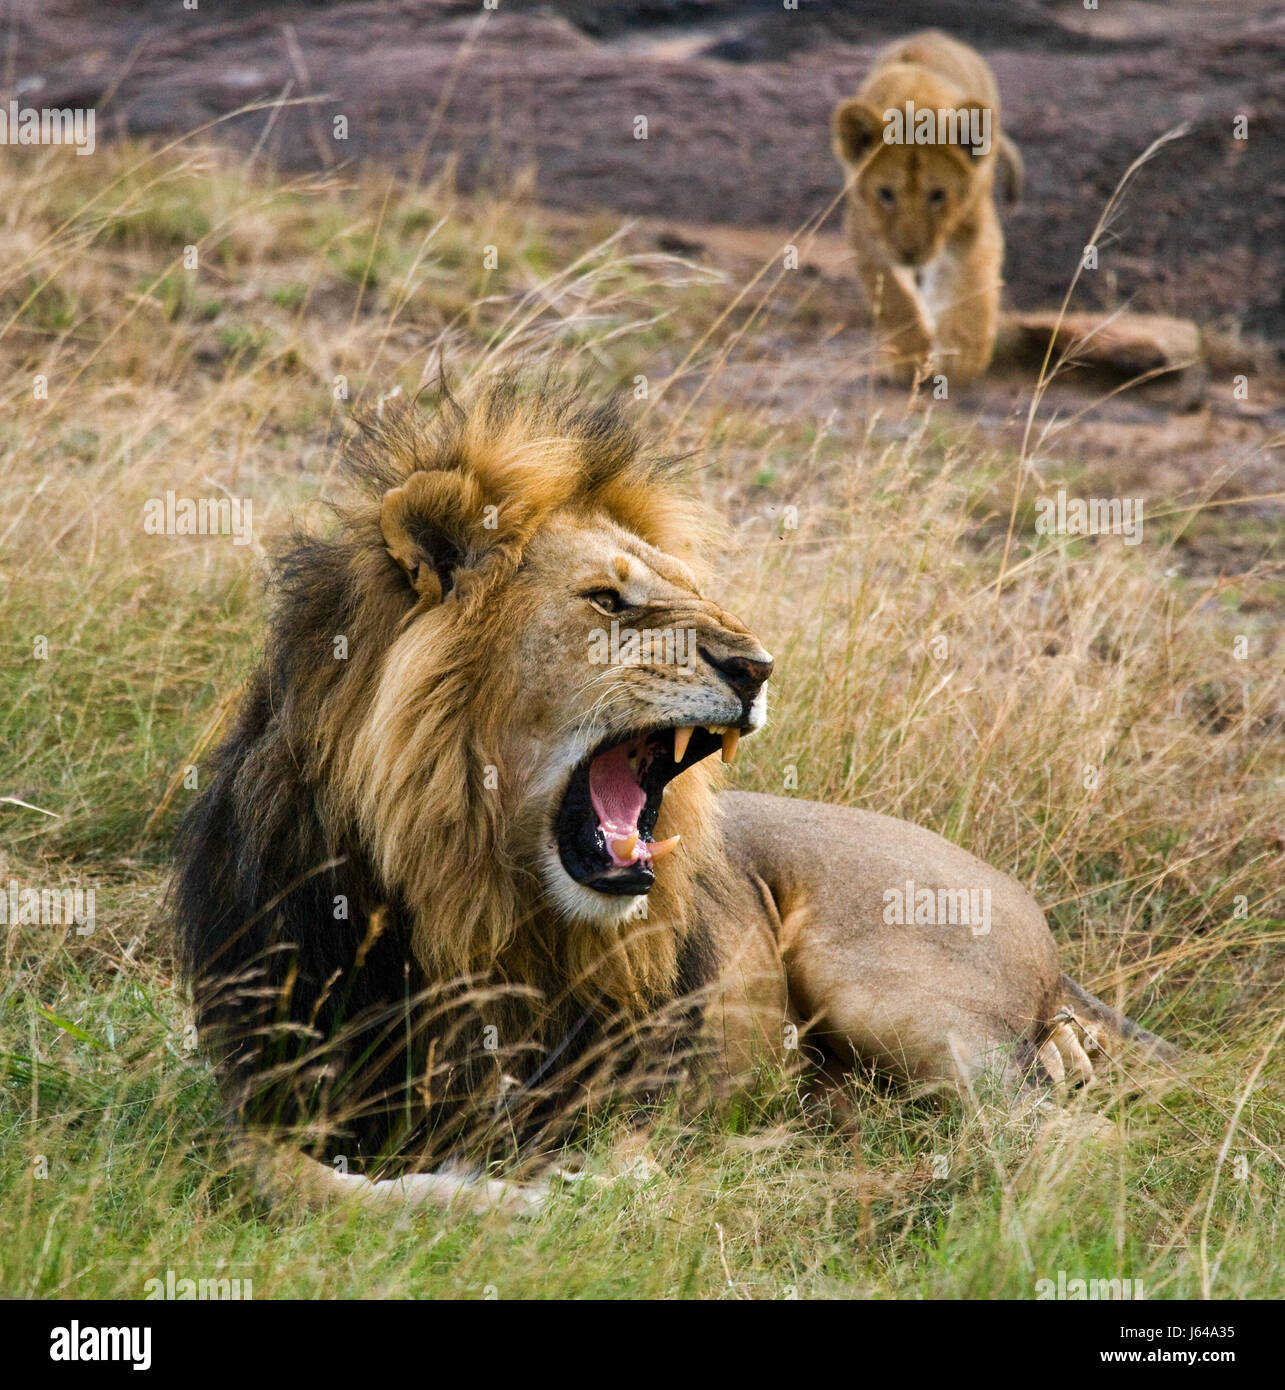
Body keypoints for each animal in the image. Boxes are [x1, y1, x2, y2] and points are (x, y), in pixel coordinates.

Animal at [173, 377, 1171, 1215]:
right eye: (608, 602)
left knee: (1073, 1136)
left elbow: (607, 1175)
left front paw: (552, 1195)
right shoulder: (269, 1090)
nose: (756, 666)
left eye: (690, 593)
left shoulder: (634, 1092)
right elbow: (290, 1176)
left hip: (892, 991)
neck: (475, 903)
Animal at [831, 30, 1023, 385]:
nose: (910, 253)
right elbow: (894, 296)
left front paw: (963, 354)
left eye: (937, 195)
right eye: (886, 193)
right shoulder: (863, 229)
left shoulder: (973, 221)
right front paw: (909, 357)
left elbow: (971, 284)